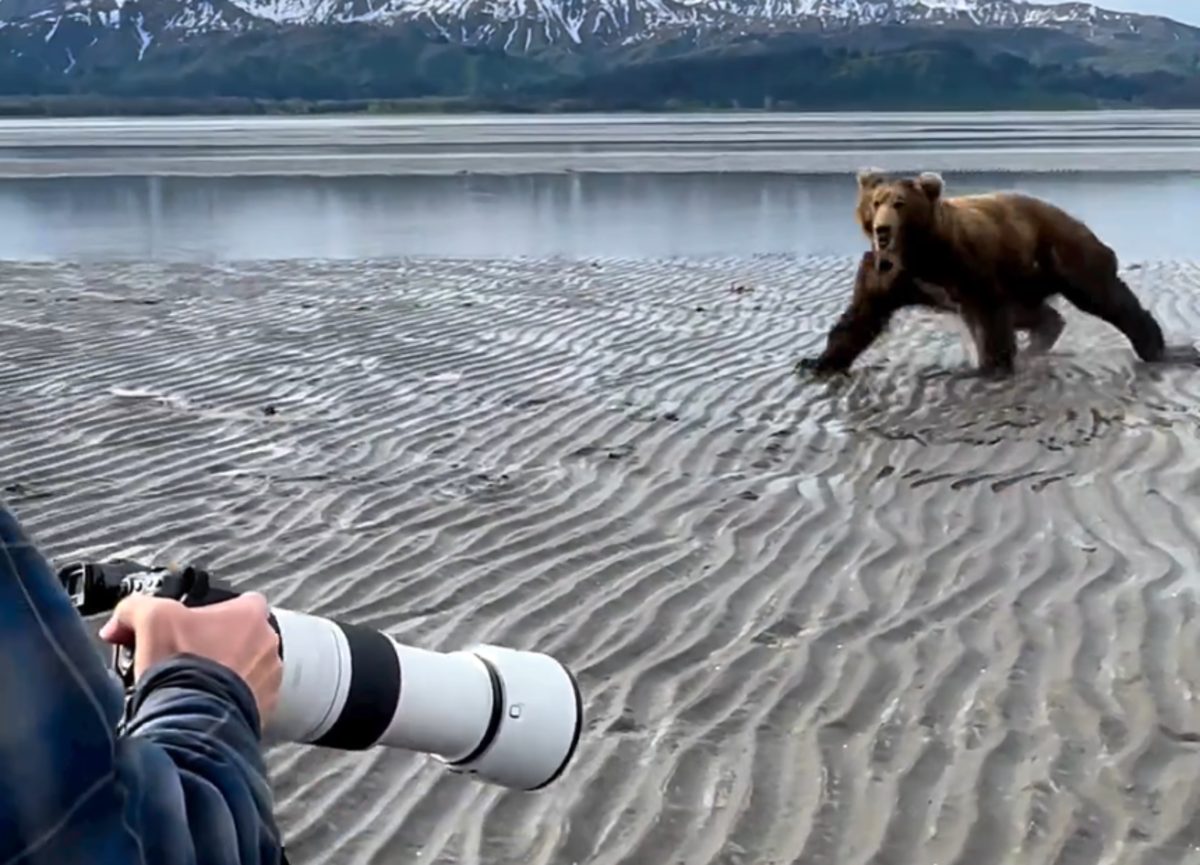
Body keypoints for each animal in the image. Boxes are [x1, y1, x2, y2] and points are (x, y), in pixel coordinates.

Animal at [797, 169, 1172, 378]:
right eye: (876, 201)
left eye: (899, 203)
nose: (882, 230)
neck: (920, 253)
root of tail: (1074, 219)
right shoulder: (889, 273)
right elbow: (861, 316)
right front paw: (817, 363)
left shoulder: (967, 264)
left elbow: (989, 316)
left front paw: (990, 367)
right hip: (1024, 279)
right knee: (1037, 314)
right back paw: (1040, 341)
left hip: (1061, 254)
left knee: (1104, 295)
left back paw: (1155, 347)